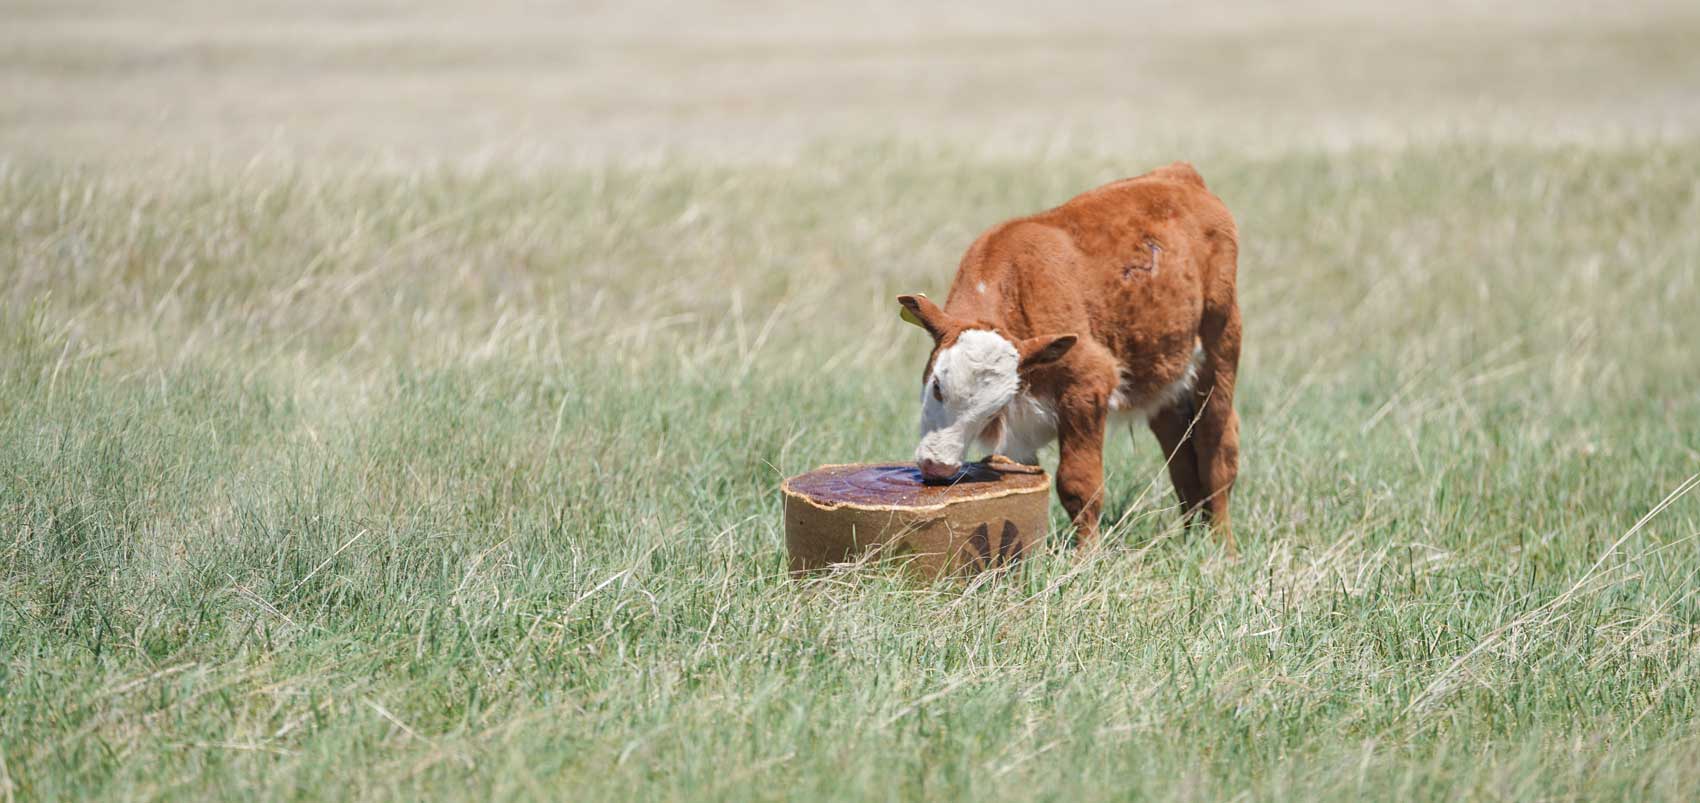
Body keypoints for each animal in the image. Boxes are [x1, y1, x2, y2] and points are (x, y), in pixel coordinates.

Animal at [897, 162, 1241, 551]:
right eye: (937, 386)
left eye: (993, 409)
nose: (937, 466)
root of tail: (1178, 175)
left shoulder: (1088, 386)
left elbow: (1079, 484)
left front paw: (1085, 555)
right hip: (1164, 372)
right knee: (1179, 451)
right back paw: (1190, 534)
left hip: (1221, 344)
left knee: (1217, 446)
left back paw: (1222, 545)